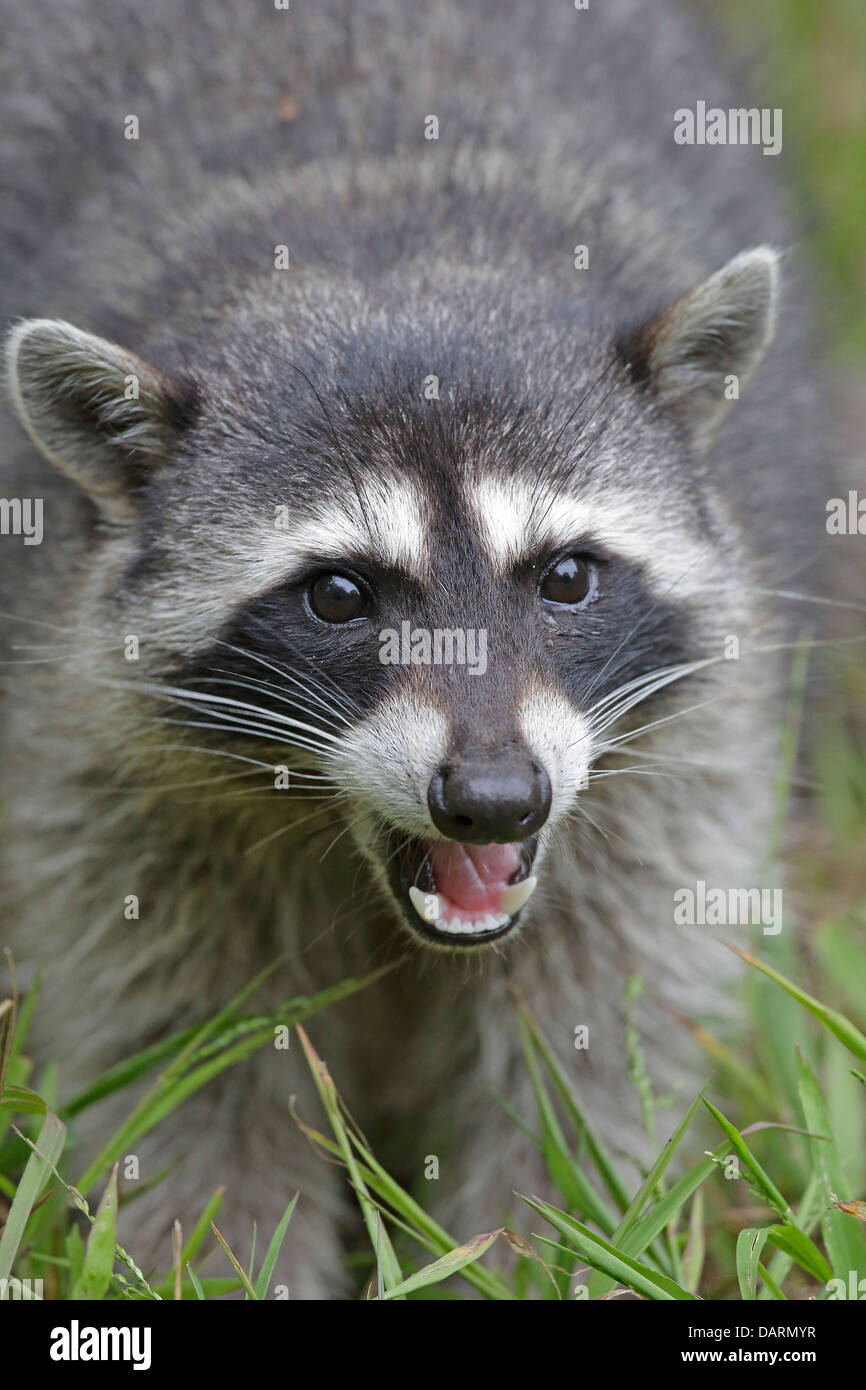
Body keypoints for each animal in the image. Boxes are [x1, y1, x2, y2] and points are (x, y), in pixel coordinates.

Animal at [0, 0, 827, 1296]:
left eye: (565, 577)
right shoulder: (93, 764)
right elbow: (188, 1060)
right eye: (338, 596)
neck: (381, 235)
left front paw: (550, 1246)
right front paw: (232, 1254)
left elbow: (594, 1040)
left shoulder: (672, 769)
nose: (492, 798)